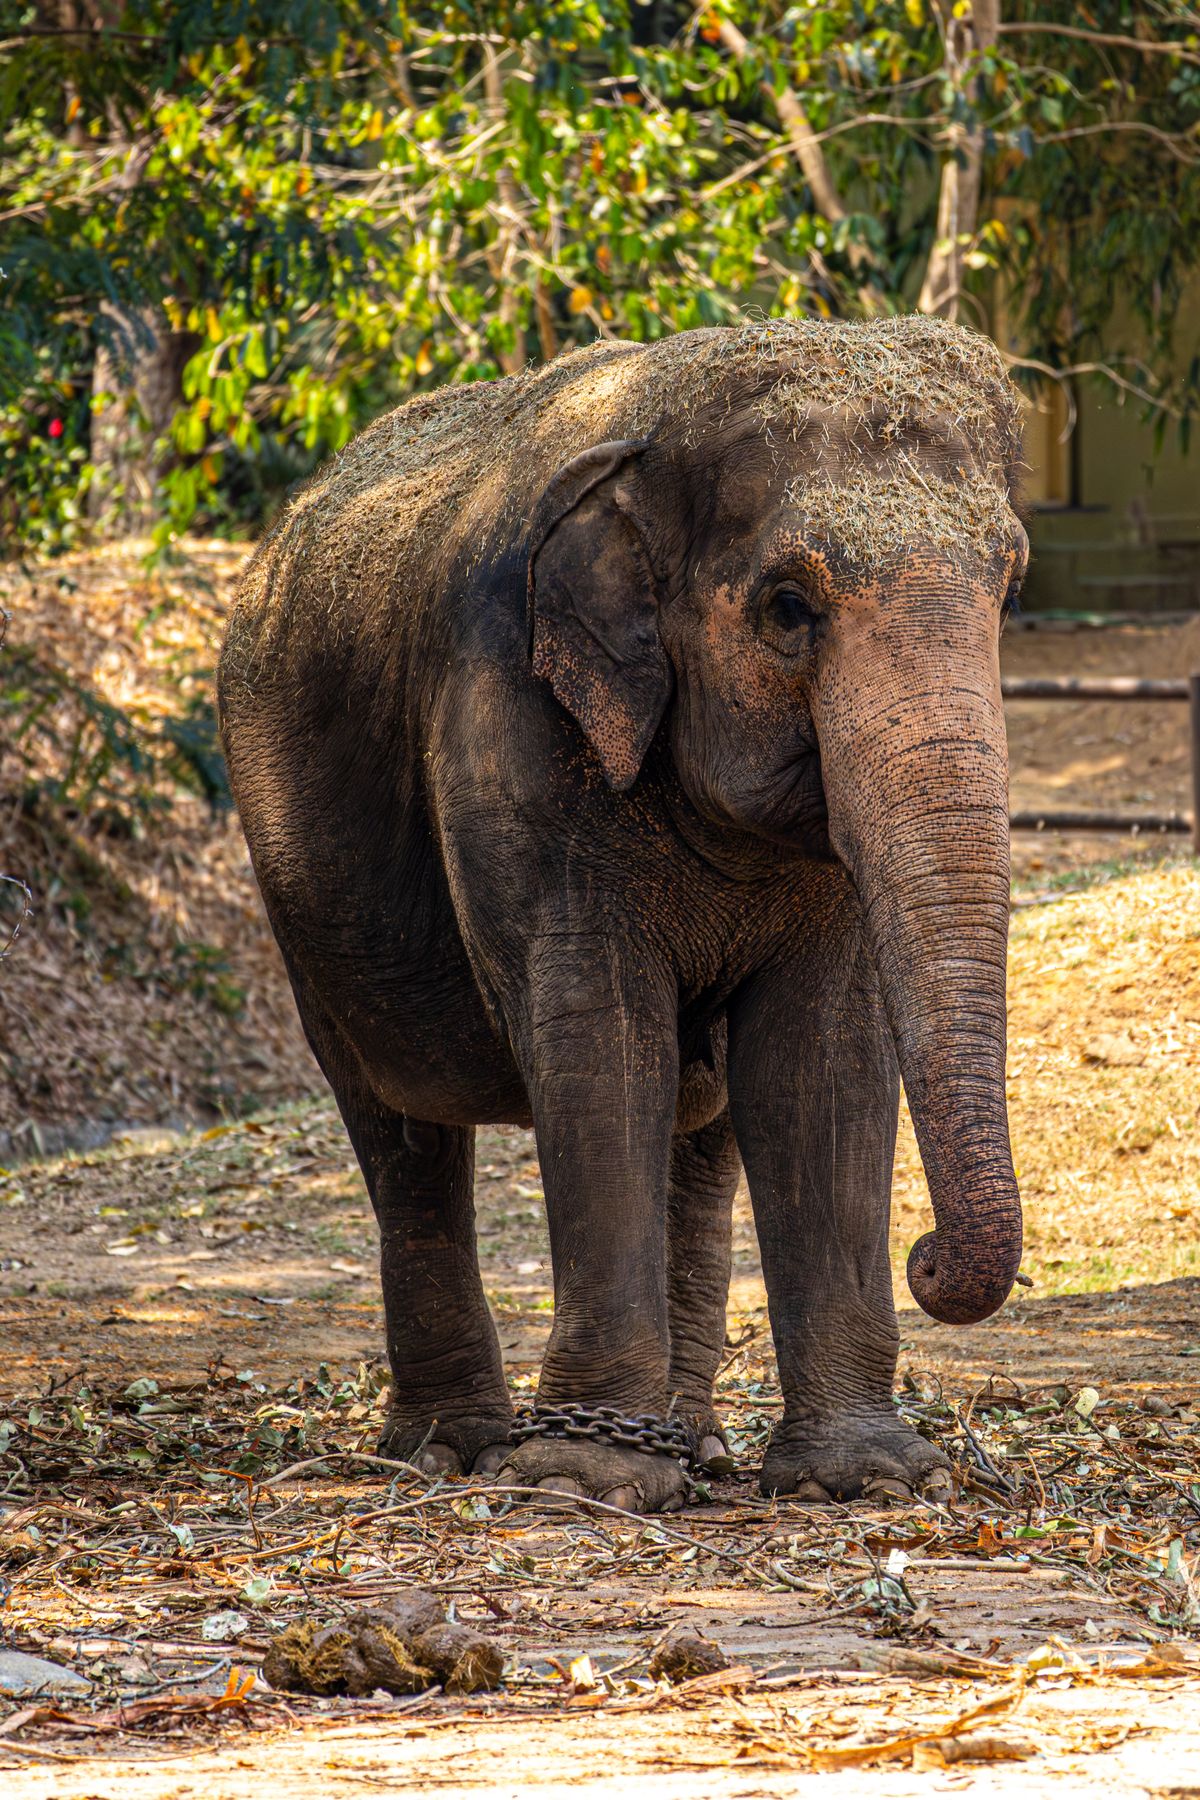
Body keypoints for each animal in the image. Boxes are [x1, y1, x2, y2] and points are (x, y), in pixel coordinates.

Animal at [218, 315, 1027, 1514]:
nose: (928, 1258)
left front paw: (869, 1478)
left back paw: (693, 1448)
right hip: (293, 884)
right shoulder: (511, 721)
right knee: (398, 1127)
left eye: (1008, 586)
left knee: (705, 1130)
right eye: (788, 606)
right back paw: (450, 1452)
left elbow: (820, 1056)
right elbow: (599, 1040)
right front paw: (583, 1478)